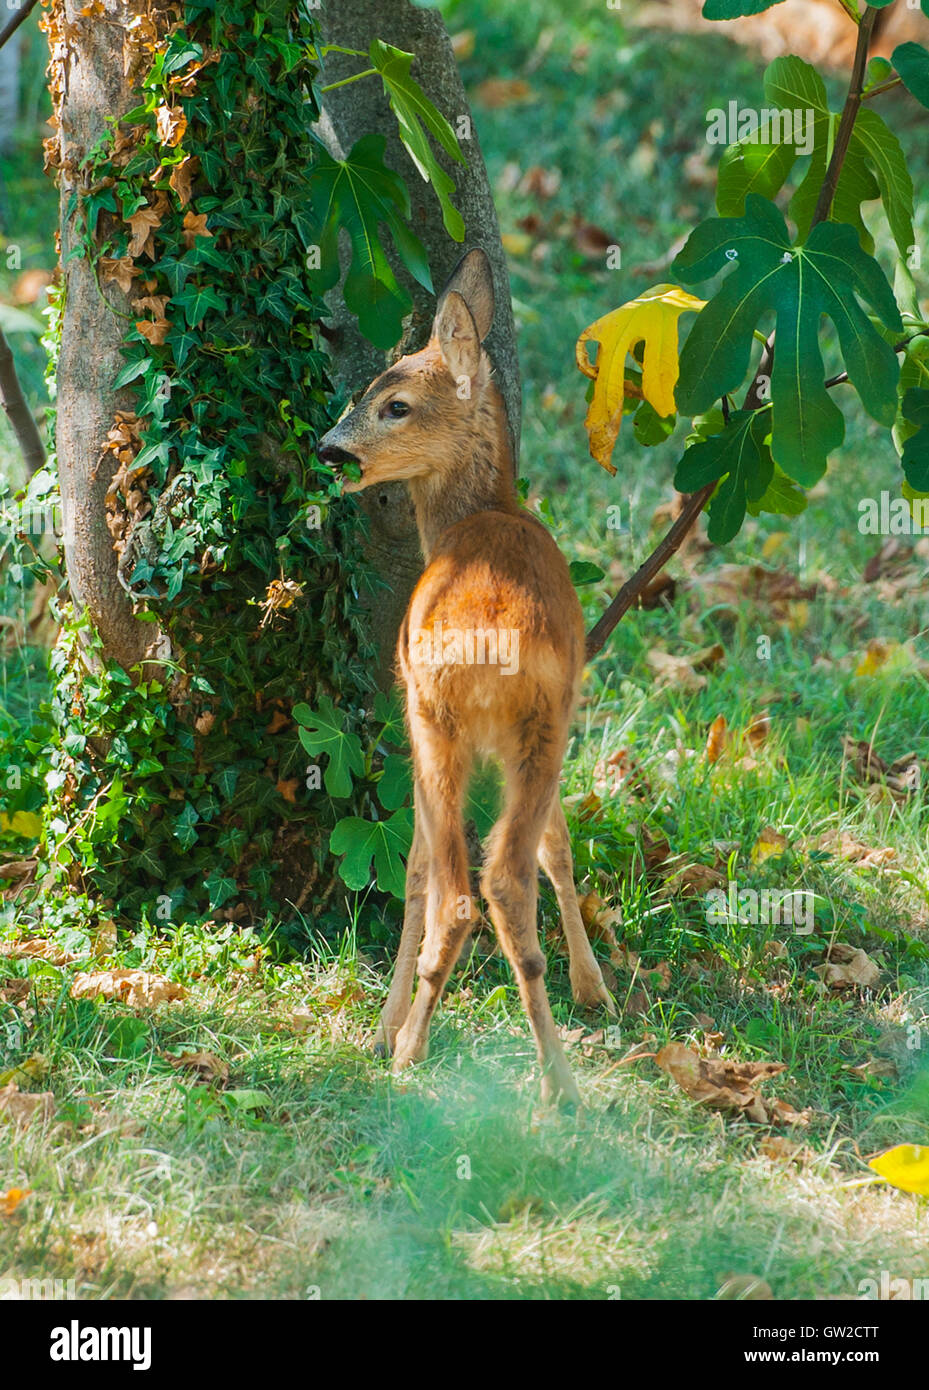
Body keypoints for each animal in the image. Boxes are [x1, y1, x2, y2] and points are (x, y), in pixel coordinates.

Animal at [318, 249, 614, 1107]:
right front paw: (594, 988)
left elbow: (415, 870)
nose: (328, 450)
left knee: (460, 885)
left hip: (438, 720)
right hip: (536, 725)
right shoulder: (563, 712)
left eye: (394, 405)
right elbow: (554, 846)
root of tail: (486, 651)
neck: (479, 514)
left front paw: (385, 1025)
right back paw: (557, 1083)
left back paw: (412, 1050)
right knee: (508, 875)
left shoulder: (415, 715)